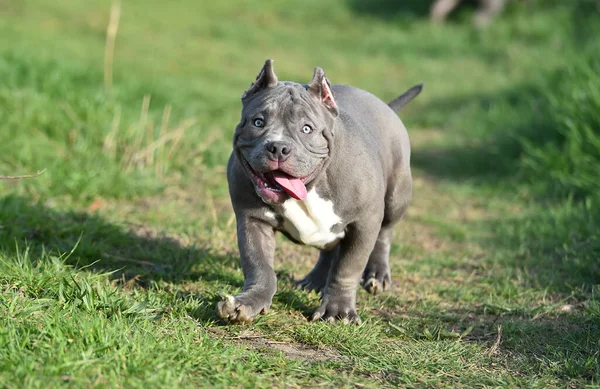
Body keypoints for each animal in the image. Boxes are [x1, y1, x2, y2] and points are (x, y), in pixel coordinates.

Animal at [217, 59, 422, 322]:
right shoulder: (252, 219)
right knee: (328, 249)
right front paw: (248, 302)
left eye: (307, 129)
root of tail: (386, 106)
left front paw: (338, 311)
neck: (310, 187)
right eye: (258, 122)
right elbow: (259, 265)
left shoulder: (364, 224)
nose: (278, 147)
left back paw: (377, 275)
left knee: (385, 232)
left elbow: (347, 268)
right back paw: (314, 281)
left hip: (397, 196)